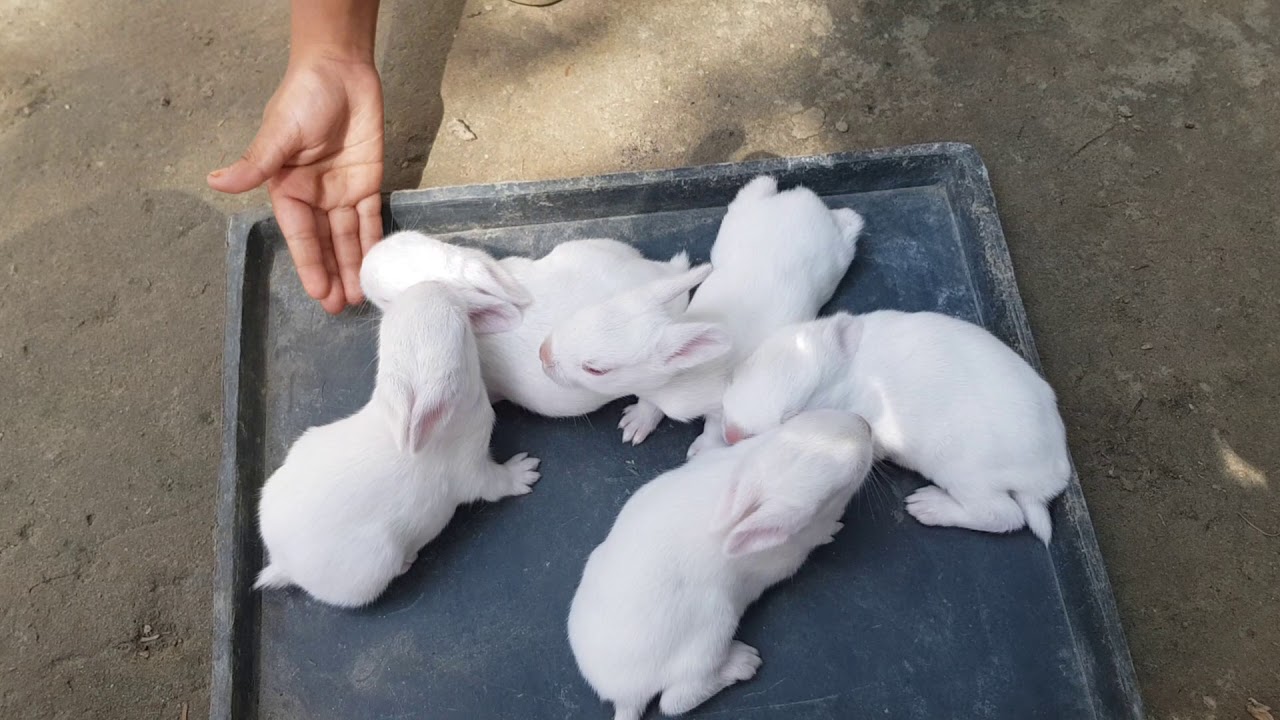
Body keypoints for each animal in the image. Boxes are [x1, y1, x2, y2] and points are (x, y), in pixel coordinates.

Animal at [254, 280, 541, 607]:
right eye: (463, 330)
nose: (433, 283)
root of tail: (284, 564)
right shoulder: (473, 472)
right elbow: (496, 484)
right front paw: (523, 472)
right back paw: (407, 560)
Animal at [540, 175, 864, 451]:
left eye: (595, 369)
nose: (543, 354)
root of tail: (806, 198)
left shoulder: (724, 407)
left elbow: (713, 427)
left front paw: (703, 449)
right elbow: (648, 404)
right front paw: (637, 423)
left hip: (838, 256)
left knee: (848, 225)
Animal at [568, 409, 875, 720]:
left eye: (799, 420)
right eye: (846, 482)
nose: (865, 424)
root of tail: (625, 697)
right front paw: (833, 528)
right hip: (712, 634)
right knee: (675, 700)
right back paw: (742, 663)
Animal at [718, 310, 1071, 545]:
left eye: (793, 415)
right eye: (742, 369)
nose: (731, 432)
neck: (852, 384)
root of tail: (1047, 480)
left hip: (967, 476)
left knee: (1002, 515)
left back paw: (927, 506)